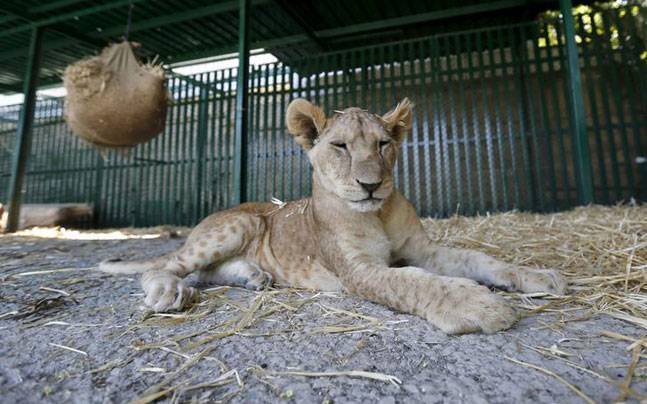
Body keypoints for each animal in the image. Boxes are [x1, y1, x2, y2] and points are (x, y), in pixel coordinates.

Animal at [99, 98, 566, 334]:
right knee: (173, 266)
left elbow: (478, 259)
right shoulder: (357, 270)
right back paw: (169, 292)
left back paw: (254, 276)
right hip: (240, 223)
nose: (370, 185)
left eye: (383, 144)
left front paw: (538, 275)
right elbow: (414, 282)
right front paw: (477, 305)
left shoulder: (424, 250)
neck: (377, 213)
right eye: (340, 147)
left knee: (209, 271)